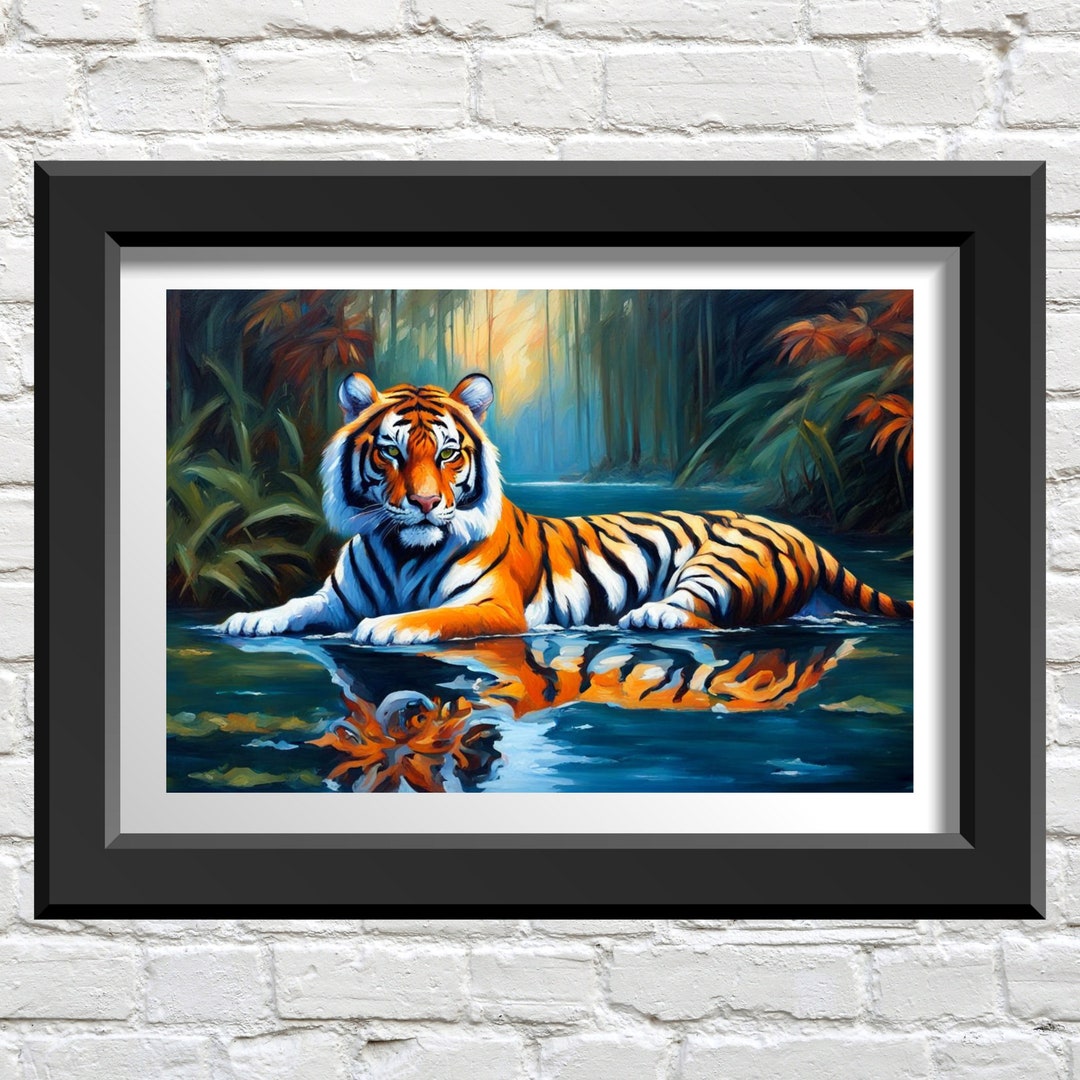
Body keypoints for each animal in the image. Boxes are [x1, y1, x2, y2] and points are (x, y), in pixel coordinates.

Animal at [218, 372, 913, 645]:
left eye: (447, 455)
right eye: (389, 453)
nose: (424, 504)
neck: (399, 550)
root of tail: (803, 533)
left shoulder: (493, 606)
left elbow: (435, 616)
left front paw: (390, 626)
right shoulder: (334, 598)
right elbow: (298, 606)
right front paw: (248, 618)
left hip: (723, 562)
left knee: (705, 614)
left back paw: (650, 615)